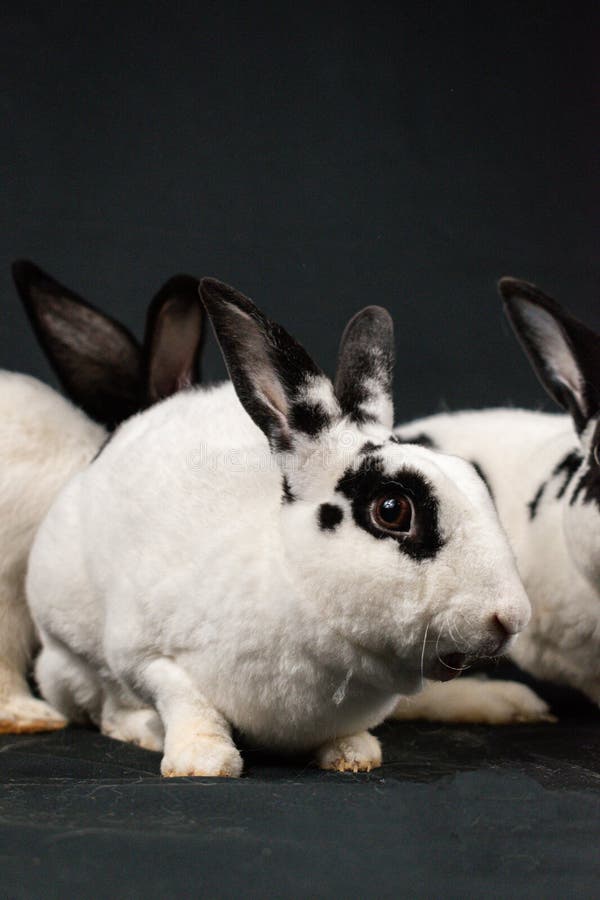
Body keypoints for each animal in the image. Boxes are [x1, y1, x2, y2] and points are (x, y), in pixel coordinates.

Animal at [26, 278, 531, 777]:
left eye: (472, 476)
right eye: (391, 510)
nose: (511, 616)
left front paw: (352, 754)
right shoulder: (143, 654)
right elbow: (183, 698)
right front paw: (203, 760)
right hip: (68, 659)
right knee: (104, 704)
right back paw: (145, 730)